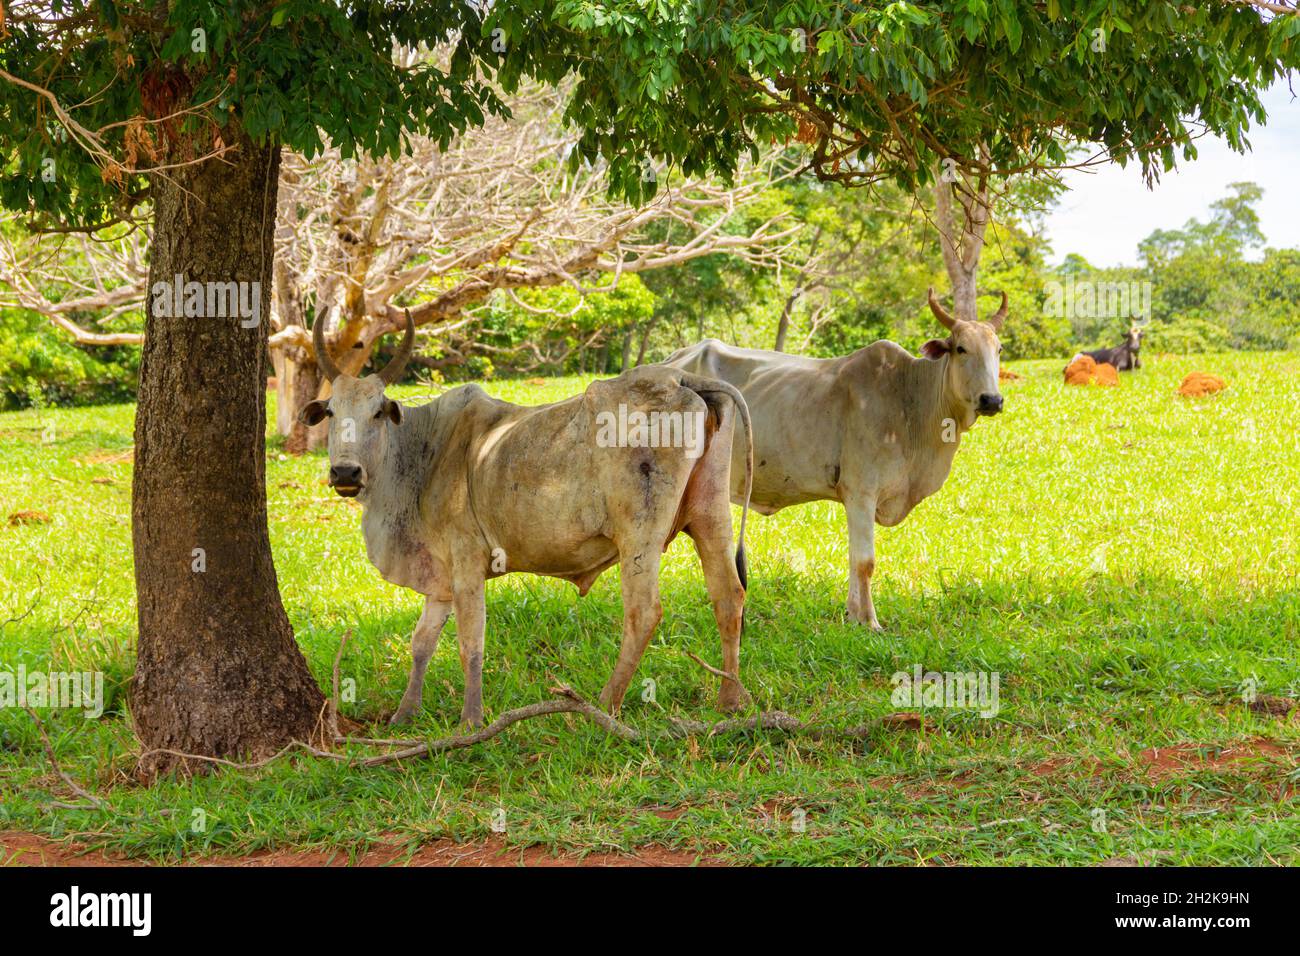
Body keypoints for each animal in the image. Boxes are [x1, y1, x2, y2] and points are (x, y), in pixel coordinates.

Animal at [302, 311, 753, 727]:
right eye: (330, 412)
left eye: (378, 413)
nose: (345, 473)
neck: (422, 452)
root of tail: (681, 379)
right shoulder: (439, 575)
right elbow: (421, 642)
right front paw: (404, 715)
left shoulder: (466, 561)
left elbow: (470, 642)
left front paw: (471, 721)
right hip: (710, 513)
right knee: (728, 595)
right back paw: (729, 700)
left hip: (639, 535)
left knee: (644, 612)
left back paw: (605, 704)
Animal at [663, 288, 1007, 630]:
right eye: (961, 349)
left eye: (999, 349)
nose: (992, 400)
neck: (909, 399)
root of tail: (672, 361)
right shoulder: (861, 492)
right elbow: (865, 562)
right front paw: (870, 622)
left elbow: (855, 560)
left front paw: (854, 616)